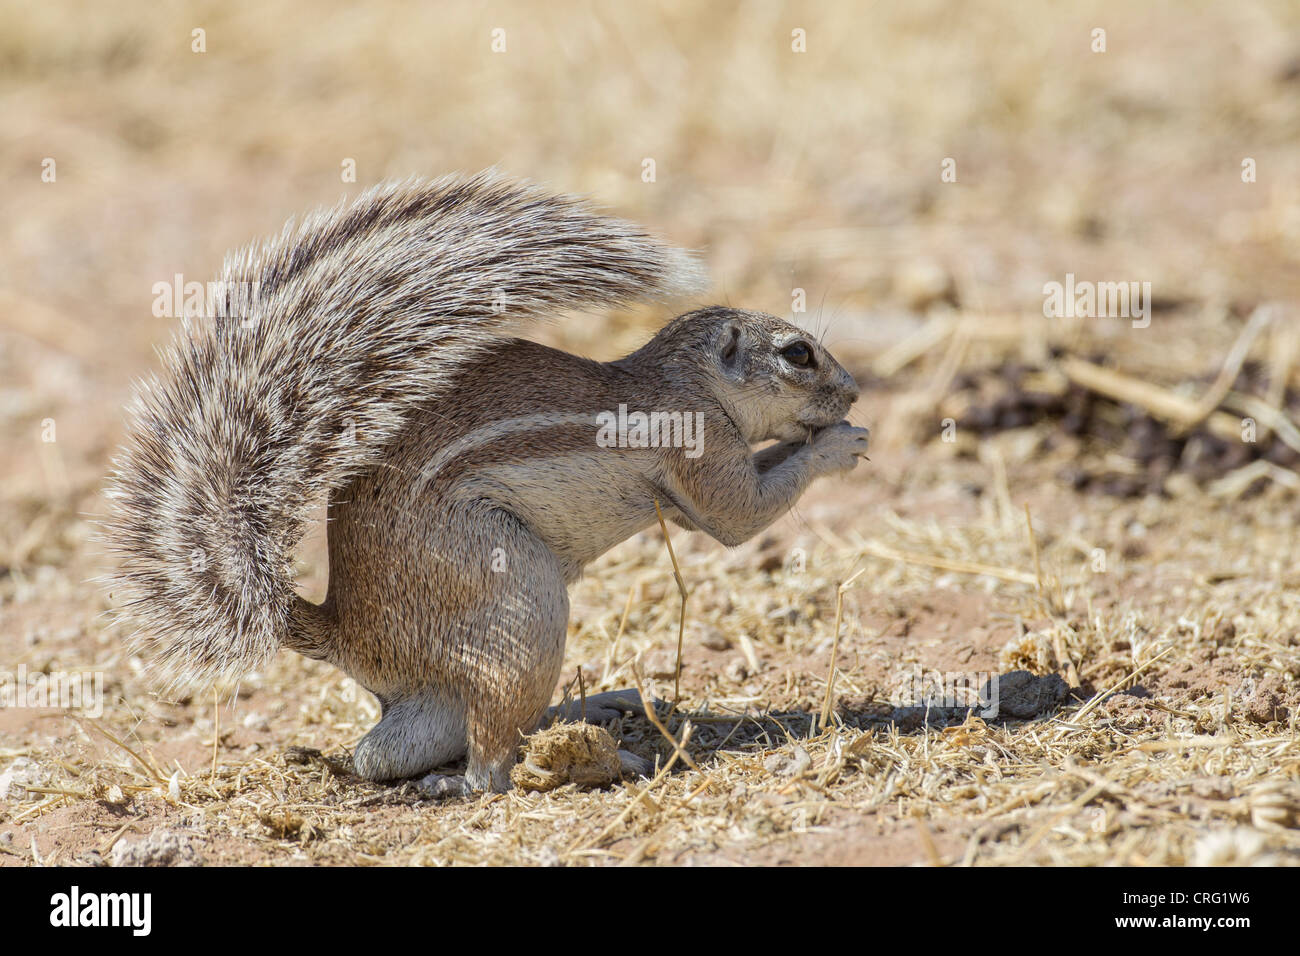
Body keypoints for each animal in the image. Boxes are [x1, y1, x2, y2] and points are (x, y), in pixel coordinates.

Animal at [104, 171, 869, 794]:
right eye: (798, 354)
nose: (855, 392)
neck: (685, 380)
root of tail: (346, 632)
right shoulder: (702, 448)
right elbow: (740, 518)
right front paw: (837, 444)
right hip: (516, 597)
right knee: (487, 764)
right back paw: (590, 762)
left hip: (442, 686)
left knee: (383, 756)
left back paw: (581, 710)